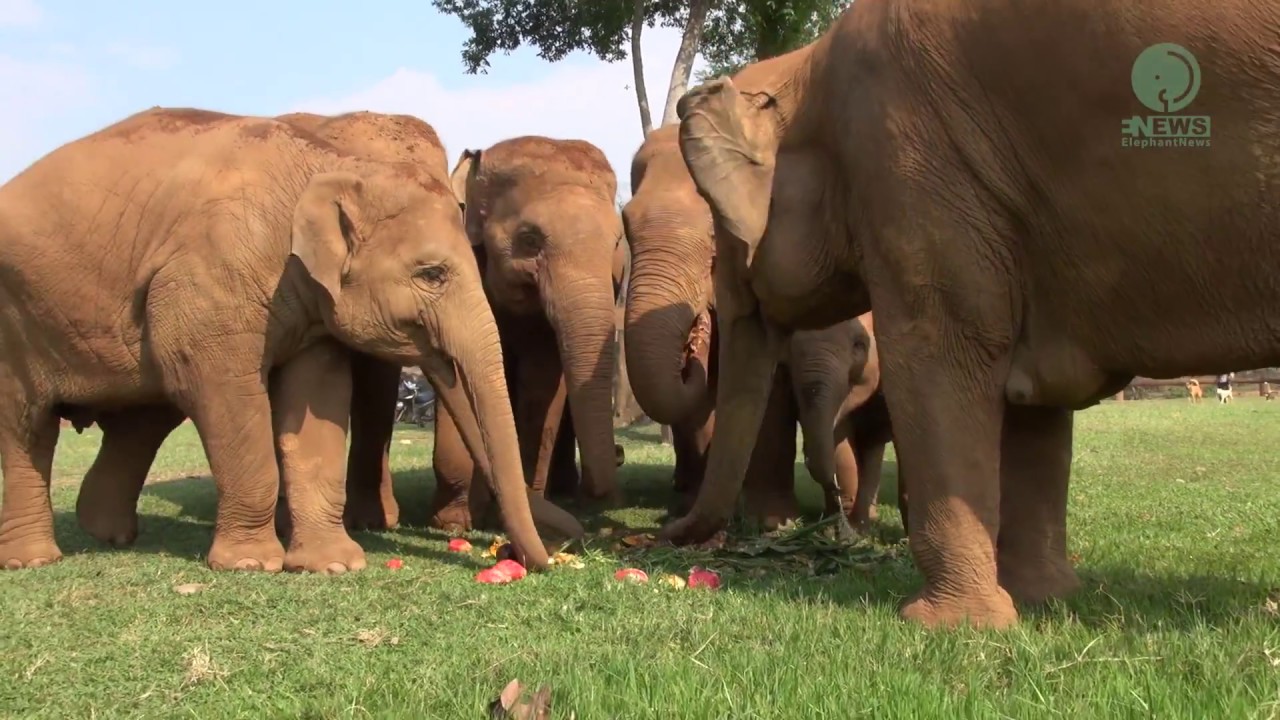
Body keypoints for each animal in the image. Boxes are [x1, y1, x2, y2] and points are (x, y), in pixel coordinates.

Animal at [663, 0, 1280, 629]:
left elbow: (942, 353)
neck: (807, 63)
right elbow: (1036, 406)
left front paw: (951, 625)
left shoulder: (910, 164)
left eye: (719, 238)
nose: (667, 532)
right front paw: (1041, 599)